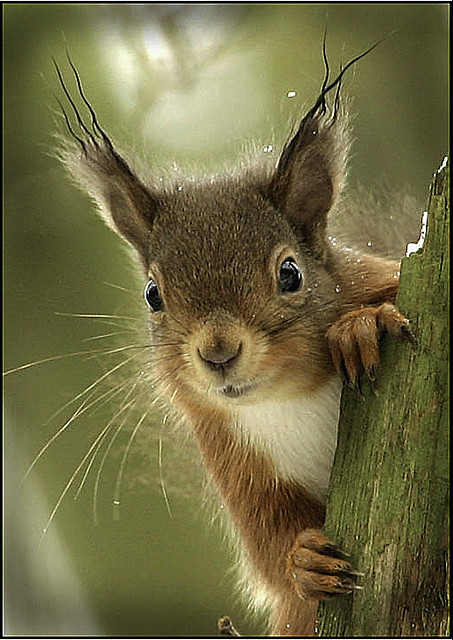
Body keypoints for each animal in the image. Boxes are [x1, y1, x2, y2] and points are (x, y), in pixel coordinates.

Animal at [54, 46, 413, 637]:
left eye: (290, 273)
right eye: (152, 294)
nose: (218, 352)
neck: (290, 395)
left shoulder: (379, 278)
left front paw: (360, 326)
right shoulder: (235, 462)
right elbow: (268, 547)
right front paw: (301, 561)